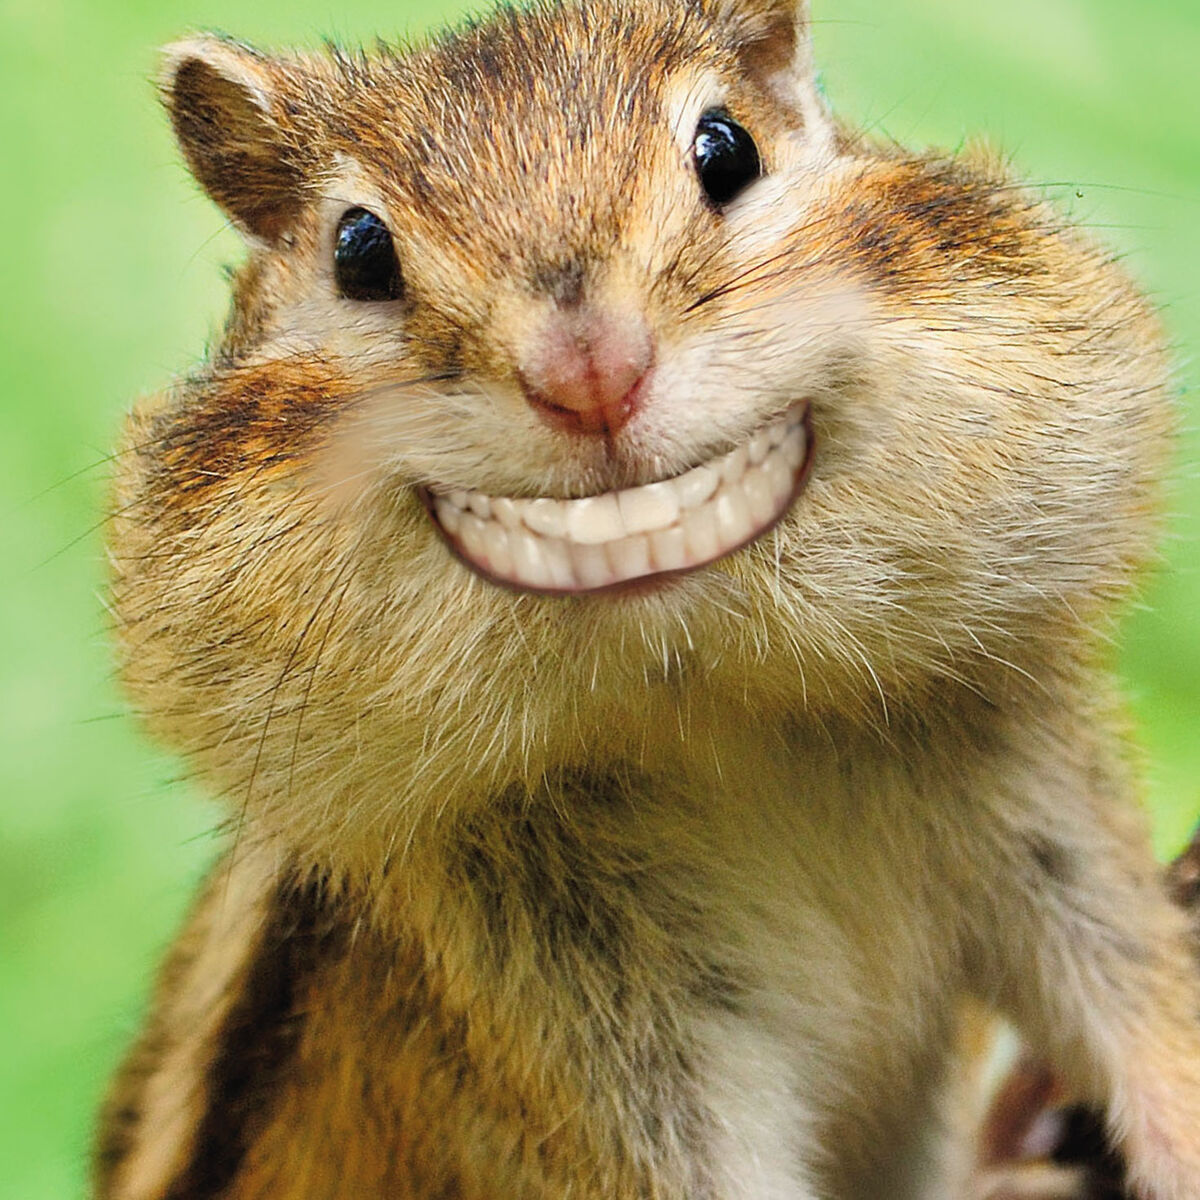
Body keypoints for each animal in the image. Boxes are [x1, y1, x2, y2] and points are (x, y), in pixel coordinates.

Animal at [95, 0, 1200, 1197]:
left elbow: (1137, 1002)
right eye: (358, 250)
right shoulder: (583, 1027)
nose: (590, 372)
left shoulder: (1044, 808)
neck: (713, 709)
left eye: (726, 150)